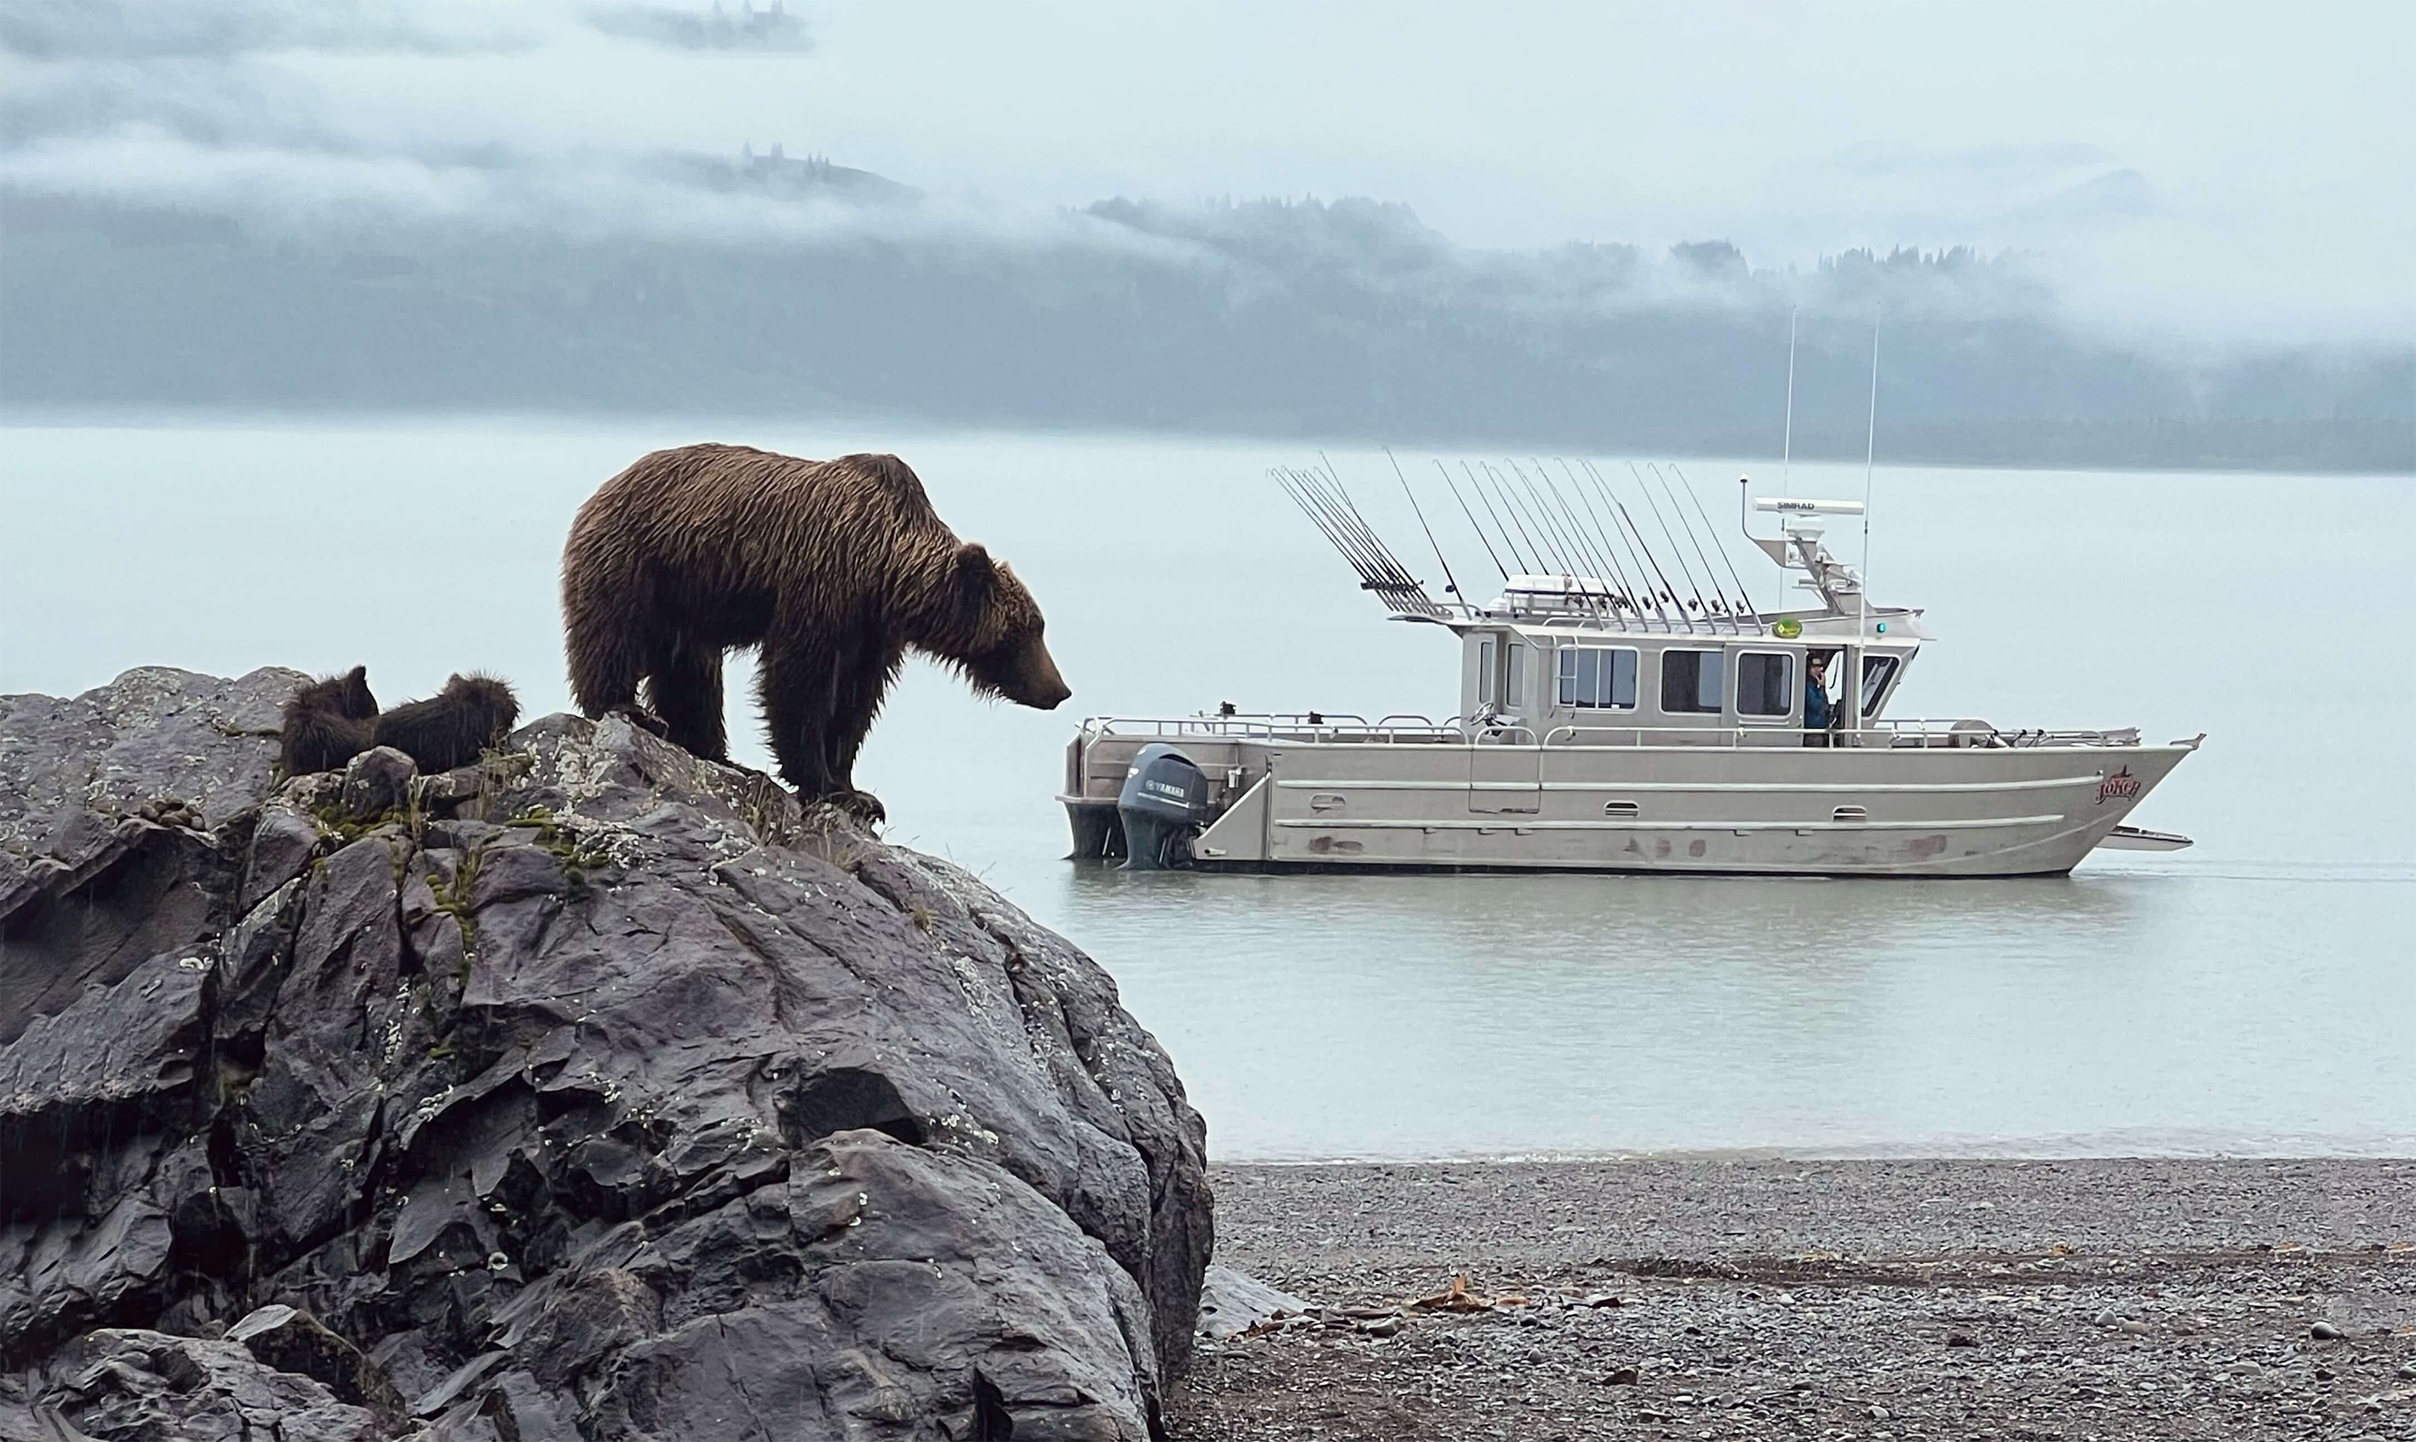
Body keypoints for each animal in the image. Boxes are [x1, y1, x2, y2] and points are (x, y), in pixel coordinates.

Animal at [560, 444, 1070, 823]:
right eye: (1026, 632)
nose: (1059, 690)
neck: (881, 569)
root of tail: (608, 484)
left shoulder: (873, 631)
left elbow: (856, 701)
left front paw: (858, 793)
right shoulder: (820, 584)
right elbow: (799, 681)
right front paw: (821, 782)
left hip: (687, 598)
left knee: (691, 672)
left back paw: (715, 751)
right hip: (637, 560)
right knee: (612, 634)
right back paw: (629, 709)